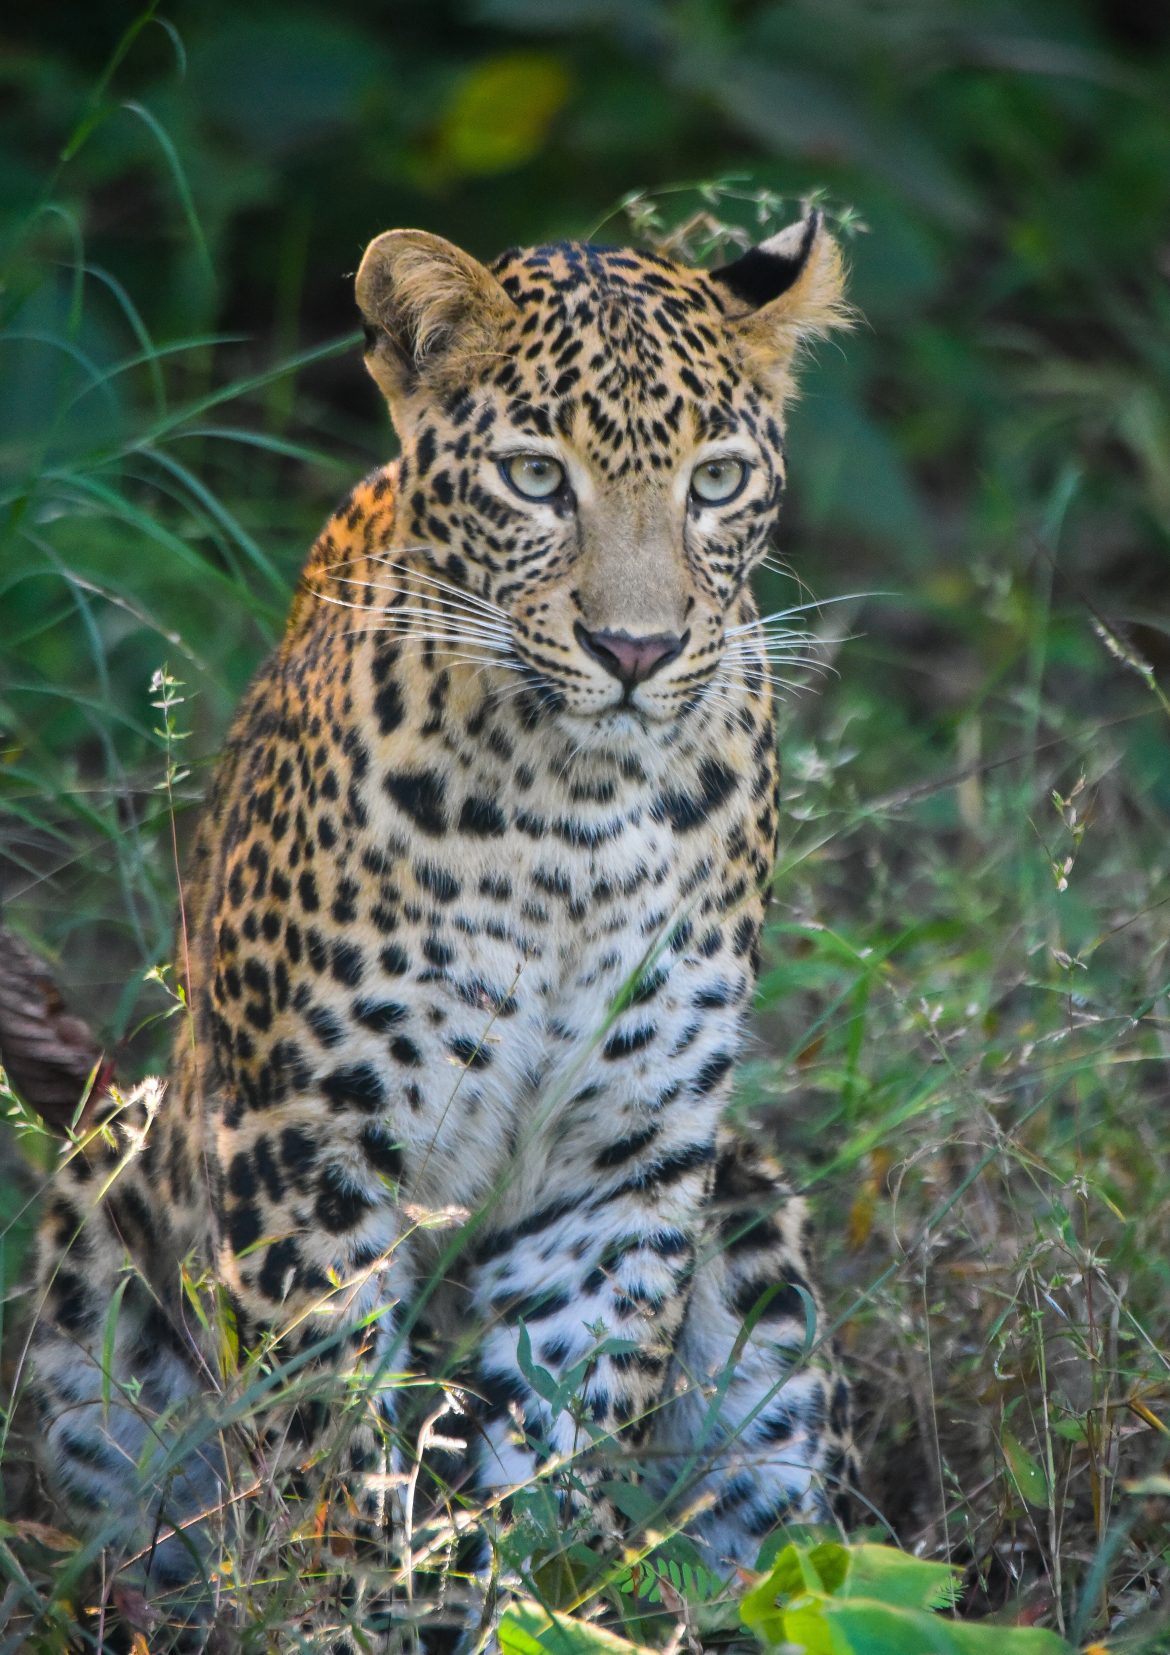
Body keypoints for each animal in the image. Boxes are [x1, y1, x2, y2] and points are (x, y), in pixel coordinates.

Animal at [27, 210, 859, 1649]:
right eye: (534, 477)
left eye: (713, 481)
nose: (635, 650)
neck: (578, 811)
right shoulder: (305, 1140)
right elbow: (323, 1422)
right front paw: (362, 1603)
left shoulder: (626, 1157)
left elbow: (571, 1407)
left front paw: (525, 1591)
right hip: (109, 1171)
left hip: (751, 1218)